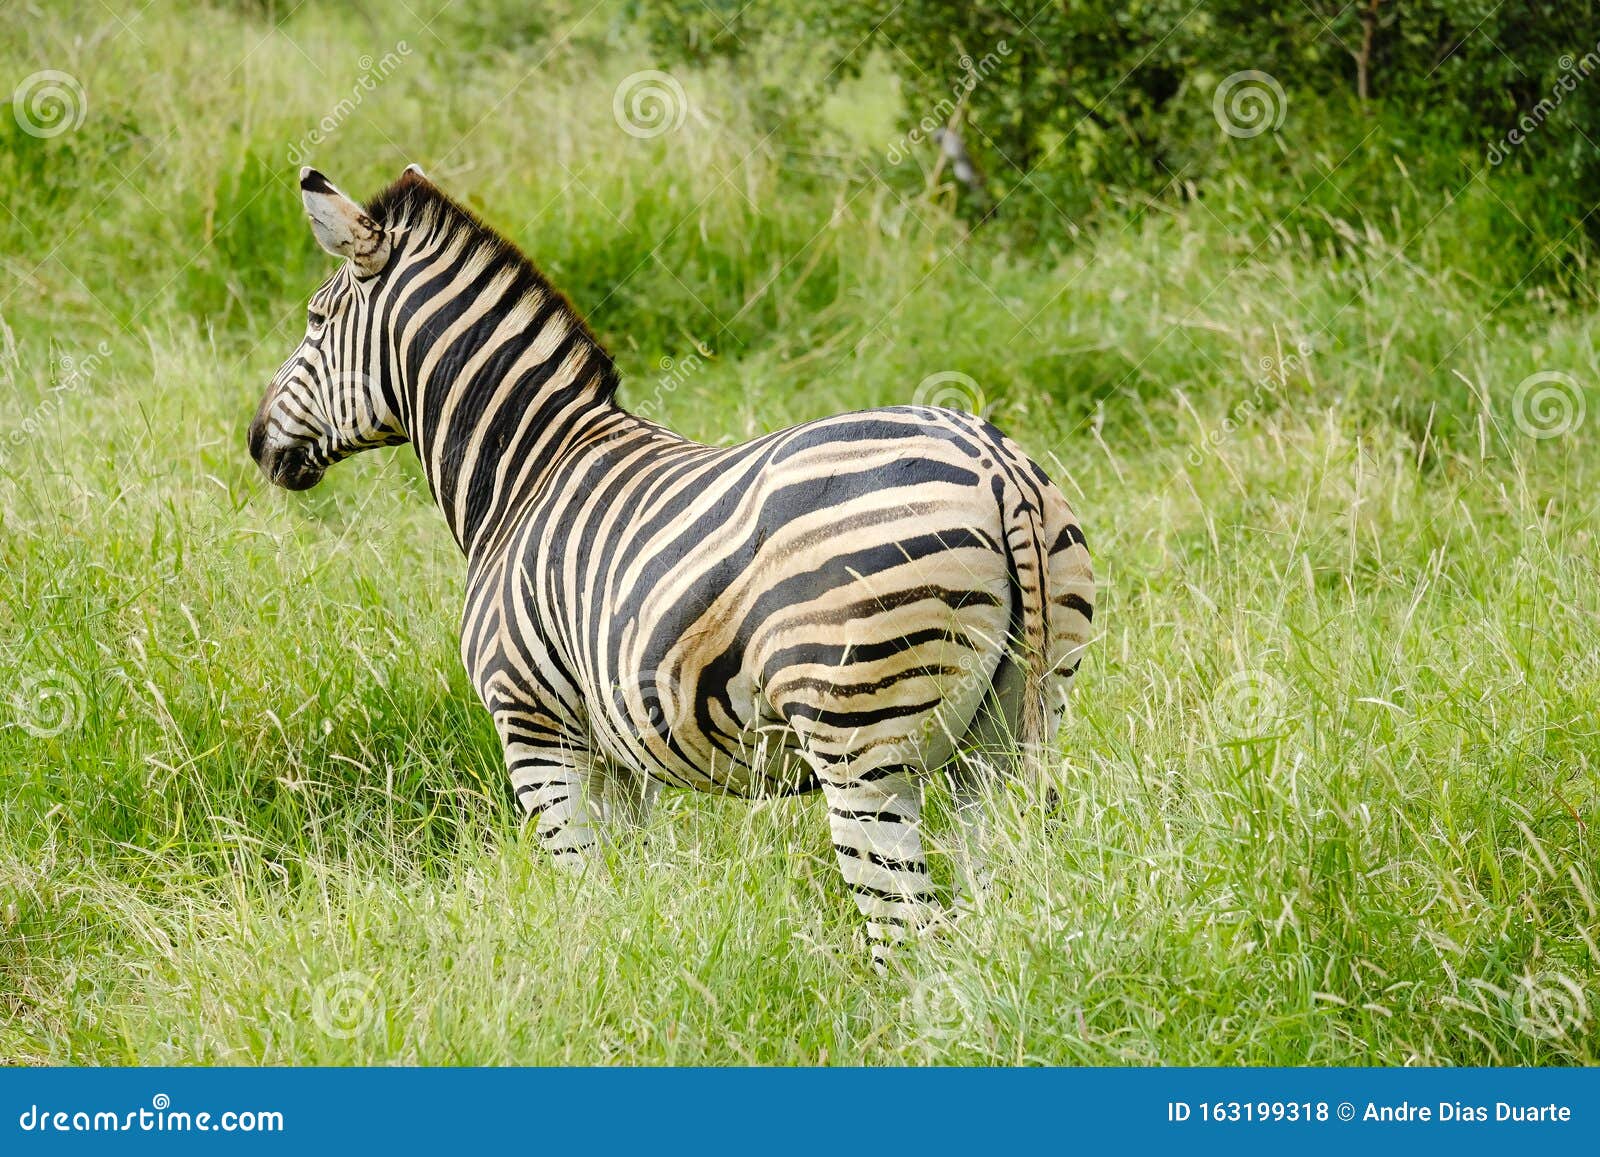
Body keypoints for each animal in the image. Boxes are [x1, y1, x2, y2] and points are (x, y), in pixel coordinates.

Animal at [248, 164, 1094, 966]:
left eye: (315, 322)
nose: (256, 442)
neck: (524, 475)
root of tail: (995, 468)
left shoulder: (534, 728)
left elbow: (581, 890)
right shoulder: (615, 753)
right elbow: (625, 894)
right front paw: (628, 978)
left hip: (860, 739)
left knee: (909, 934)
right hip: (1006, 734)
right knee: (991, 915)